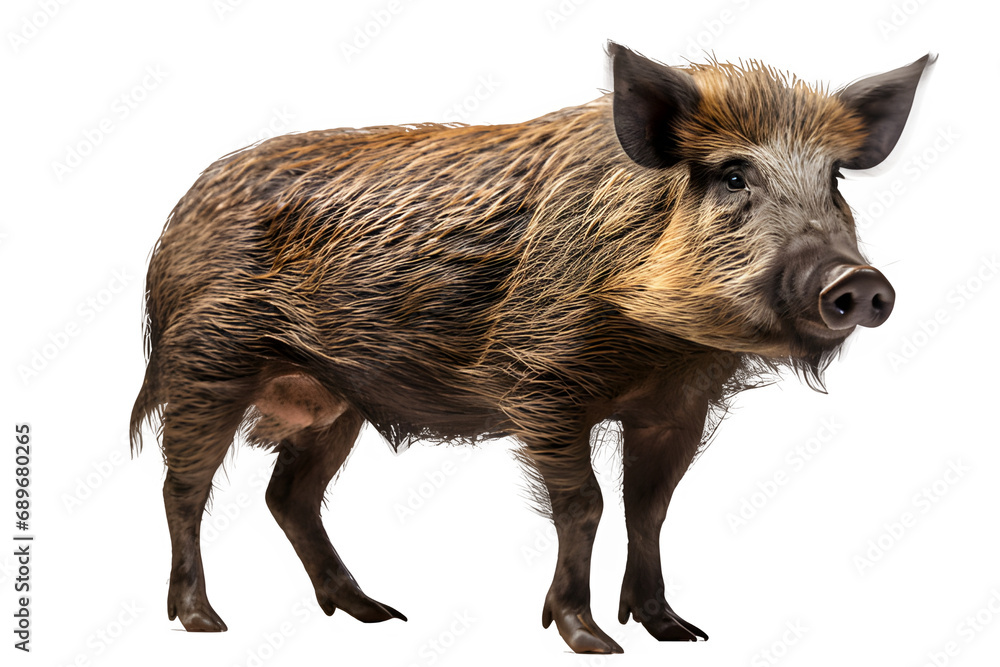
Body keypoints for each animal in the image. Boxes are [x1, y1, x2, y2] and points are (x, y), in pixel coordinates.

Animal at [130, 42, 933, 654]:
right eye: (735, 174)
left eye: (834, 178)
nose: (859, 282)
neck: (659, 348)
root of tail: (179, 213)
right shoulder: (540, 381)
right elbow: (585, 502)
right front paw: (591, 640)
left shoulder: (676, 407)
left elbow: (650, 506)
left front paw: (678, 632)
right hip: (206, 361)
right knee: (183, 485)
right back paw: (205, 621)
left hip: (334, 398)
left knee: (287, 493)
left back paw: (377, 614)